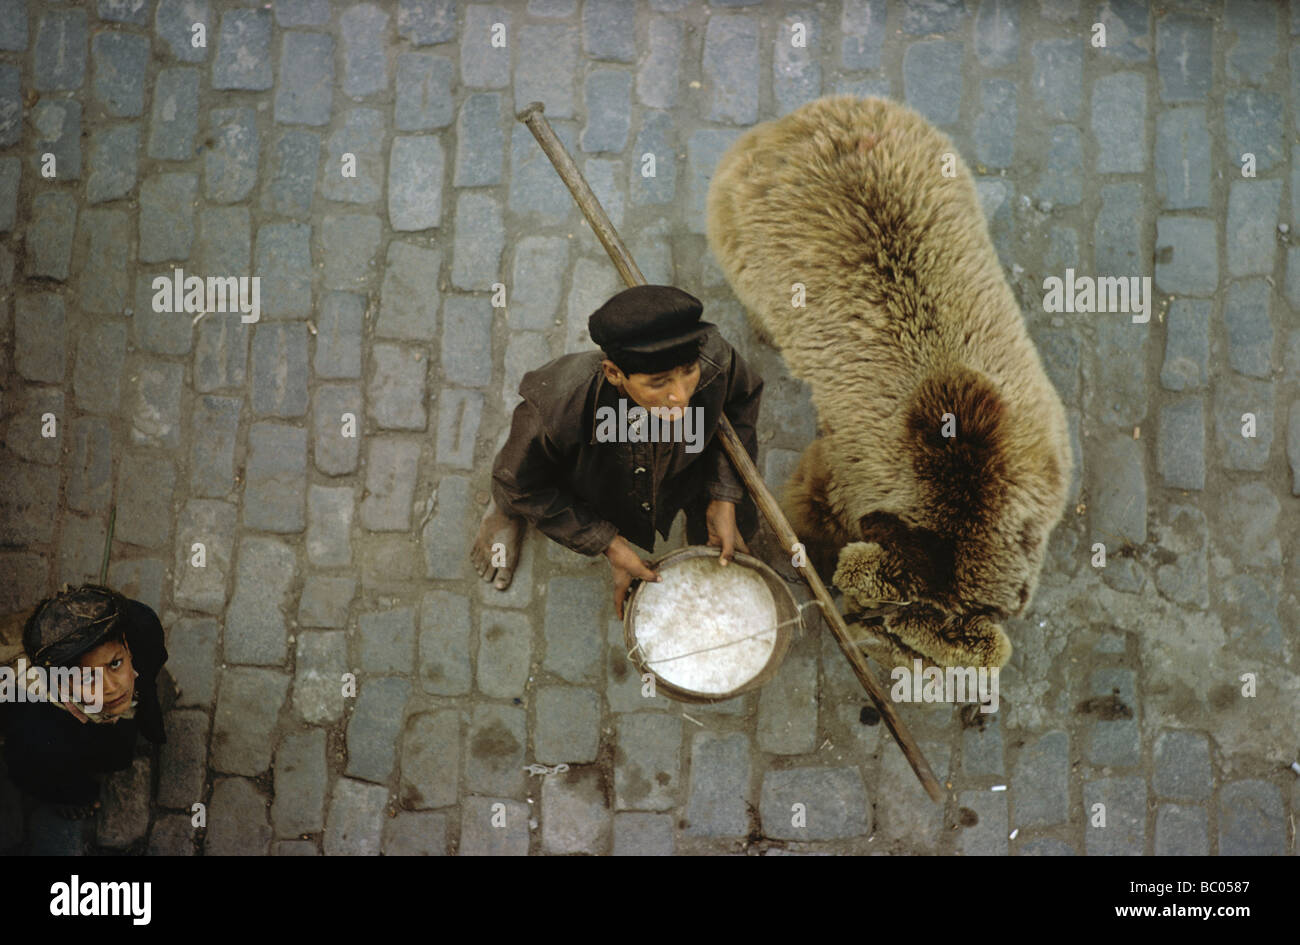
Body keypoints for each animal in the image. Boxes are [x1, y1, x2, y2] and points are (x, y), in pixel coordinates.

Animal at [705, 95, 1072, 670]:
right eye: (883, 625)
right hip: (743, 232)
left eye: (911, 651)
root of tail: (796, 122)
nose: (869, 642)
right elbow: (810, 503)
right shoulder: (853, 468)